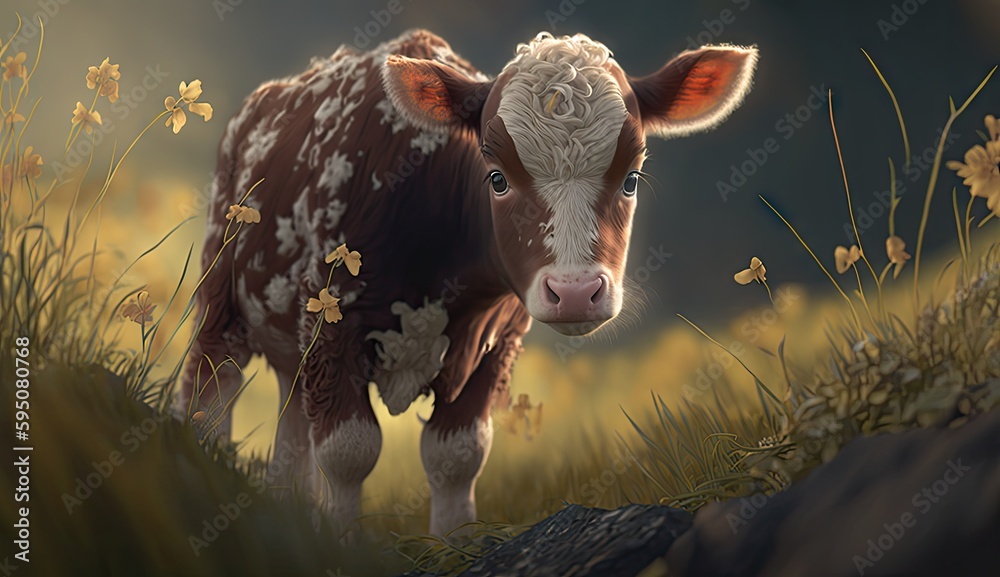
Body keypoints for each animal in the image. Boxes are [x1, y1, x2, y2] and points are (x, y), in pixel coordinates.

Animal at [178, 29, 758, 538]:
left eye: (632, 178)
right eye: (496, 178)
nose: (575, 292)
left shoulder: (497, 337)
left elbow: (457, 455)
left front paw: (452, 543)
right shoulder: (331, 321)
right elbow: (348, 452)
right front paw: (340, 543)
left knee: (291, 417)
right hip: (221, 290)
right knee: (211, 387)